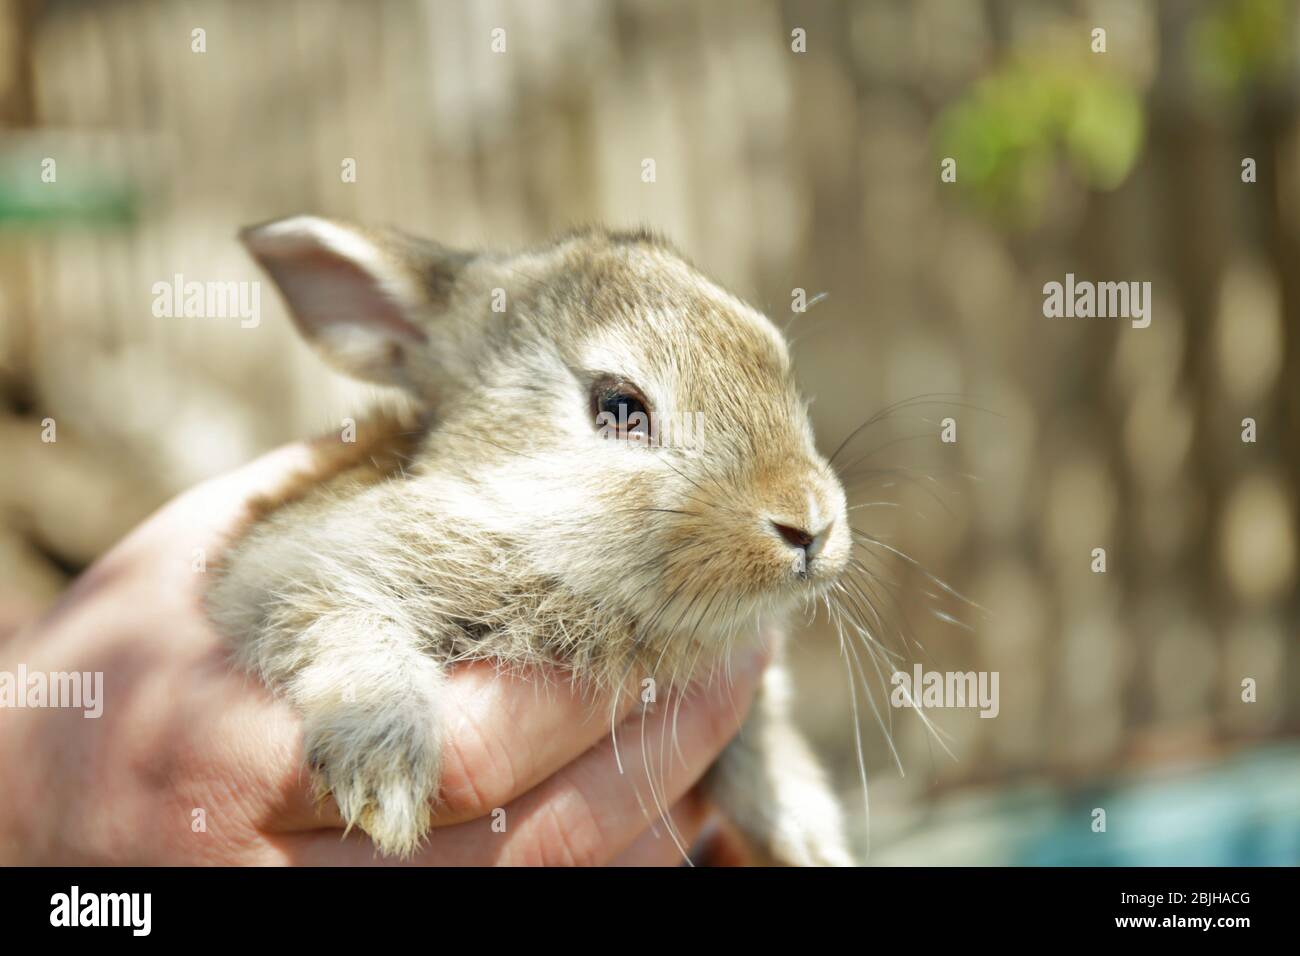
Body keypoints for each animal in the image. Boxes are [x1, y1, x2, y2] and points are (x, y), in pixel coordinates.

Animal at [205, 215, 856, 866]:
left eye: (778, 364)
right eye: (619, 406)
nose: (810, 523)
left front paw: (806, 833)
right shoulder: (289, 576)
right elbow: (344, 628)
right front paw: (385, 784)